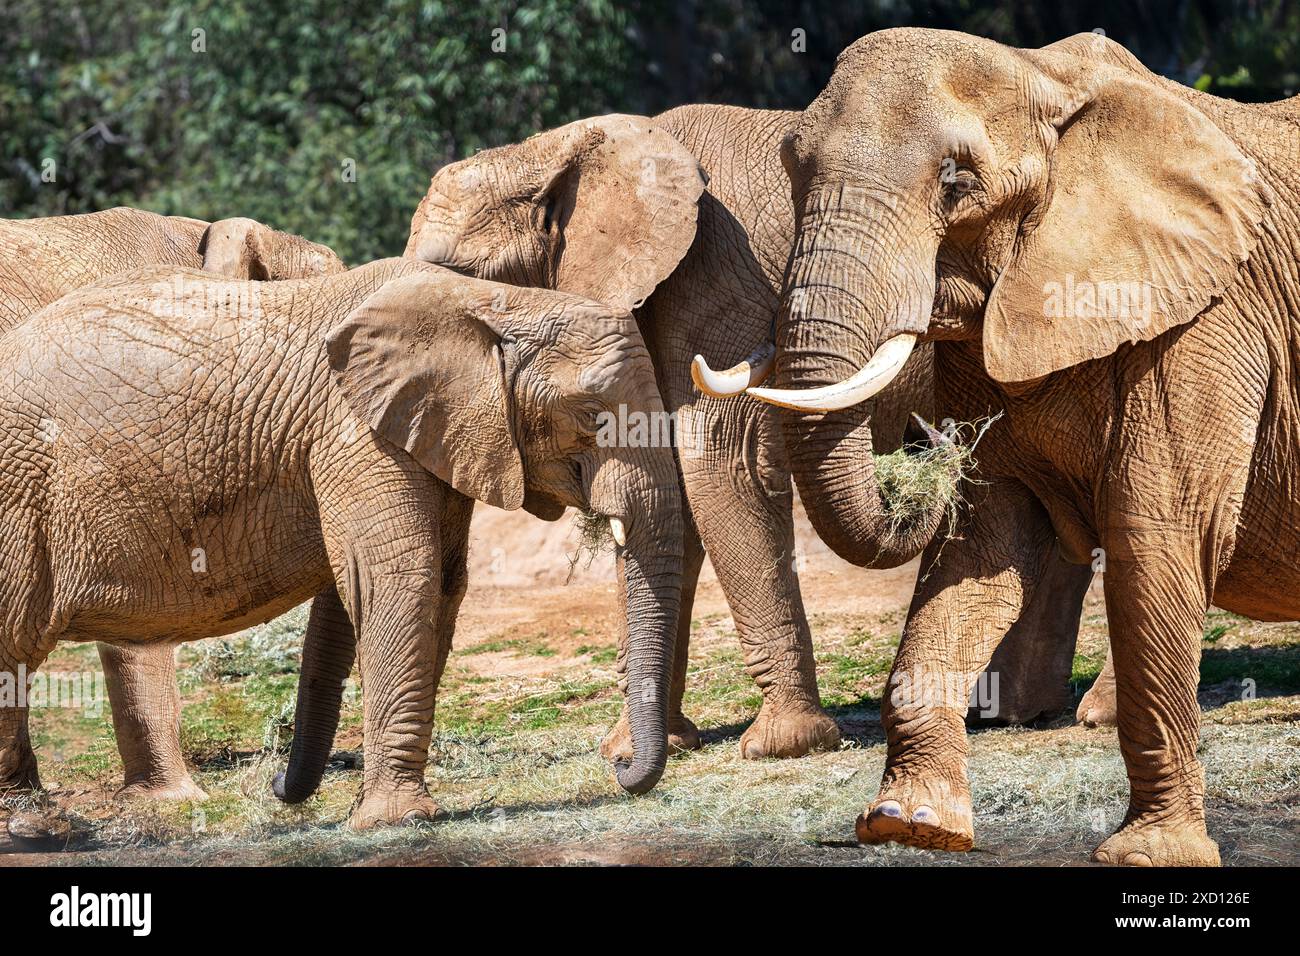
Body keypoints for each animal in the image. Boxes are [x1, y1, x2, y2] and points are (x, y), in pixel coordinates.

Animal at [405, 111, 1090, 762]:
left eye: (457, 279)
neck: (555, 148)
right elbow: (668, 496)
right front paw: (639, 749)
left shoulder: (719, 276)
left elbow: (718, 465)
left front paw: (784, 745)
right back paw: (1013, 710)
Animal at [735, 27, 1297, 865]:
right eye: (793, 167)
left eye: (958, 183)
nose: (923, 452)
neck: (1045, 75)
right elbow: (983, 545)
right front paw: (909, 823)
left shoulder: (1208, 316)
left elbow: (1160, 535)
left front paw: (1147, 855)